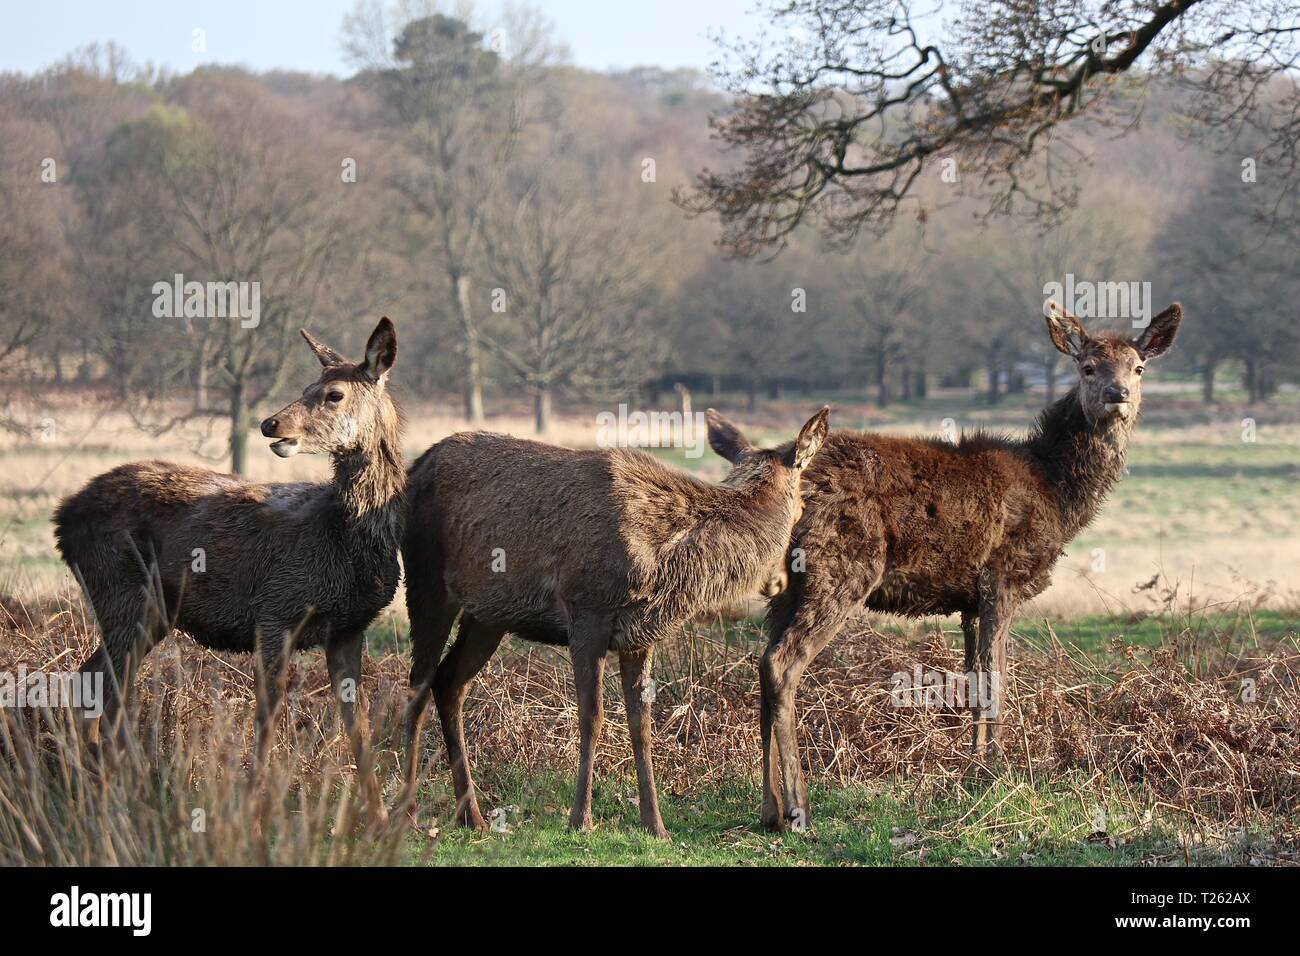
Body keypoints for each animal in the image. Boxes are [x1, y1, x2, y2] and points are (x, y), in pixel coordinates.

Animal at [53, 317, 404, 811]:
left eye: (334, 394)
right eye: (306, 386)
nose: (270, 423)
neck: (342, 540)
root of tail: (61, 520)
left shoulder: (350, 628)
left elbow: (360, 724)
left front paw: (380, 815)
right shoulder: (276, 610)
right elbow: (267, 715)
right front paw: (255, 804)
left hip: (148, 611)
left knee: (88, 682)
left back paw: (97, 788)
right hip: (121, 592)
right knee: (109, 693)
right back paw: (116, 791)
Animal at [401, 407, 830, 838]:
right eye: (801, 507)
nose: (782, 580)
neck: (666, 561)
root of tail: (416, 465)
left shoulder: (641, 634)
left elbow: (642, 723)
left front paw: (655, 824)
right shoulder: (585, 607)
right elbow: (592, 716)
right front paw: (581, 819)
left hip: (487, 615)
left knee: (449, 682)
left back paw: (471, 815)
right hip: (424, 578)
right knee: (417, 684)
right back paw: (408, 814)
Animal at [732, 303, 1183, 832]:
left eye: (1139, 367)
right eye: (1088, 367)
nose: (1118, 395)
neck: (1057, 494)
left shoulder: (969, 600)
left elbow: (971, 681)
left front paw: (972, 769)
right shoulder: (1002, 578)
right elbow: (997, 680)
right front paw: (995, 772)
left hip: (786, 588)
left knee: (763, 662)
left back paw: (769, 809)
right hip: (839, 569)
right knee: (783, 664)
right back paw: (798, 806)